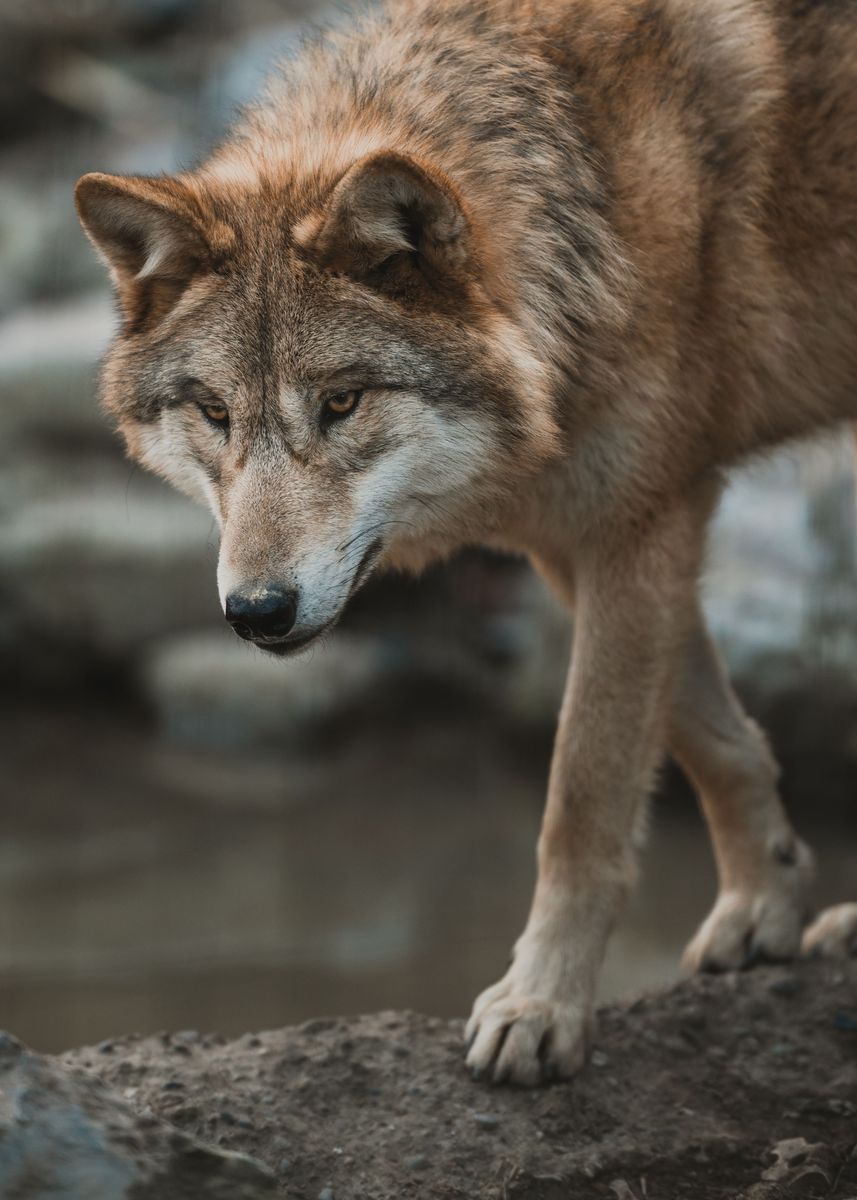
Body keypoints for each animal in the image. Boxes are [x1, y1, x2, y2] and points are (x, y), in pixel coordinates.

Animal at [75, 0, 857, 1085]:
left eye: (342, 402)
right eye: (215, 413)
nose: (255, 612)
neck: (588, 200)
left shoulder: (639, 526)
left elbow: (580, 800)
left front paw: (541, 1006)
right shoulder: (588, 537)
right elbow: (711, 736)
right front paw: (763, 902)